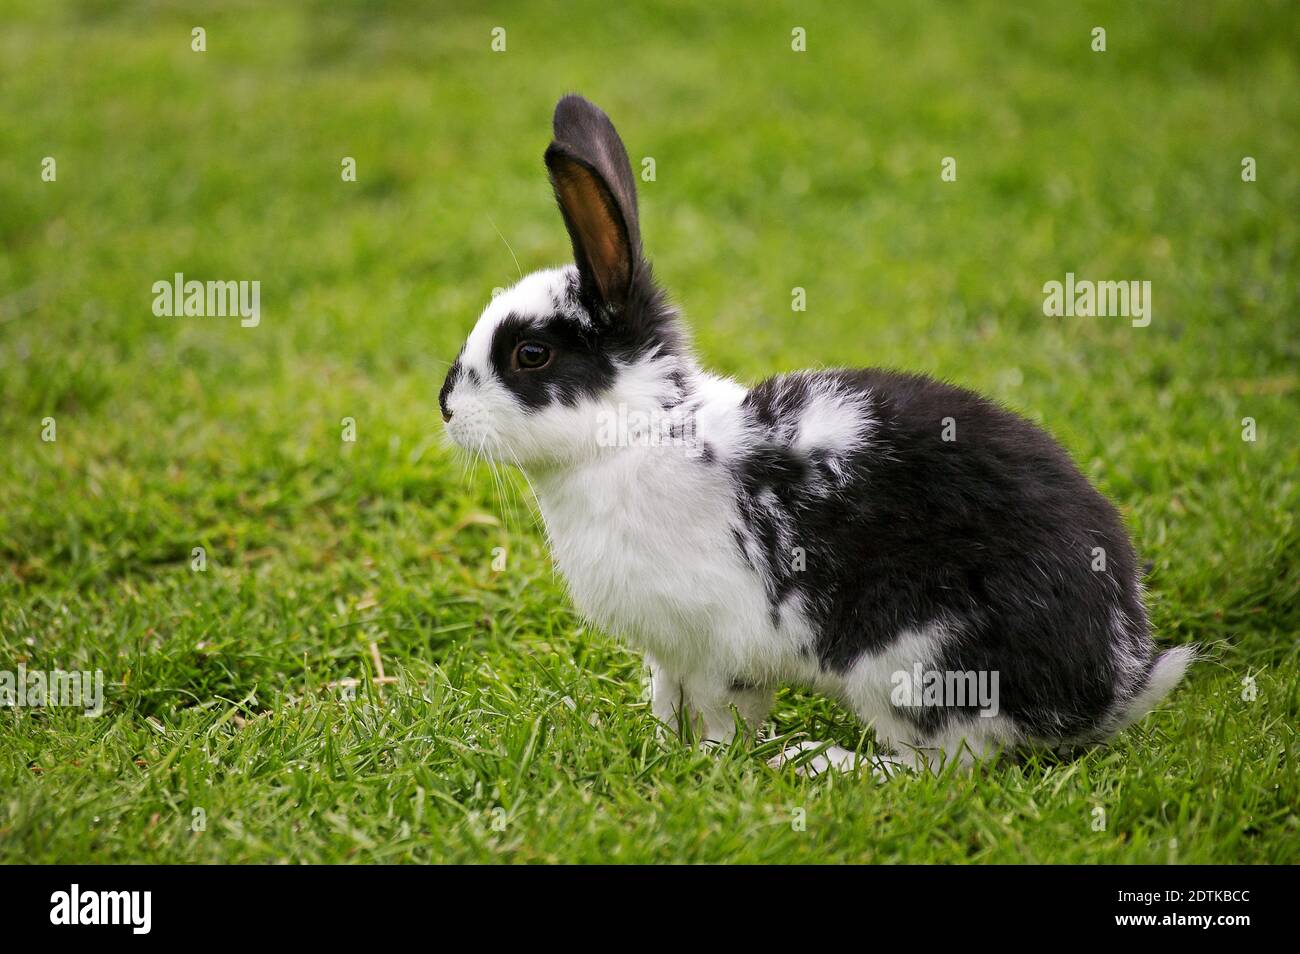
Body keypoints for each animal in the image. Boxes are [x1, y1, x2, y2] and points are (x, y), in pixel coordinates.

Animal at [439, 94, 1194, 776]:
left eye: (530, 355)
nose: (446, 407)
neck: (641, 432)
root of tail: (1109, 687)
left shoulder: (721, 647)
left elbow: (722, 715)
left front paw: (711, 765)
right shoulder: (670, 650)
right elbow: (666, 702)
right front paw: (661, 750)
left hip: (915, 666)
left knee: (943, 765)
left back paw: (816, 763)